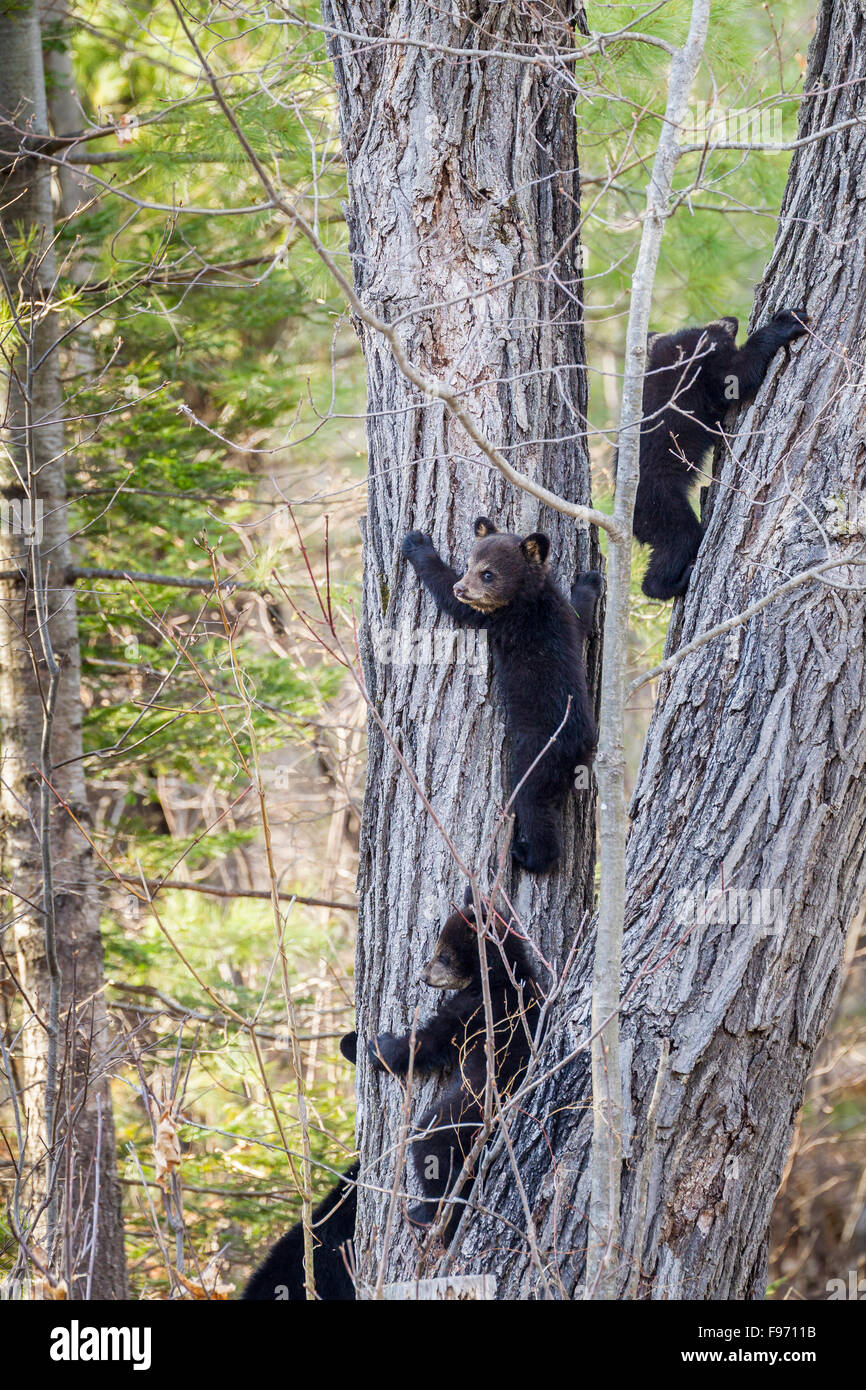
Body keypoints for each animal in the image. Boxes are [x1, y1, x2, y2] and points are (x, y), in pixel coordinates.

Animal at [367, 889, 542, 1233]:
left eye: (444, 956)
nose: (423, 976)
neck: (500, 976)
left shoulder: (476, 1011)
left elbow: (431, 1041)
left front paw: (379, 1046)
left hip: (462, 1114)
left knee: (431, 1147)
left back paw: (426, 1211)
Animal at [402, 518, 603, 874]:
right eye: (469, 564)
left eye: (488, 574)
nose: (462, 587)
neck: (530, 596)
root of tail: (581, 747)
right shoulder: (563, 617)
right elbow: (581, 619)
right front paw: (589, 580)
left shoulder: (500, 618)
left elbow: (453, 603)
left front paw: (417, 544)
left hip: (537, 755)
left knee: (533, 802)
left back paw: (528, 854)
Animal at [633, 308, 809, 600]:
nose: (732, 320)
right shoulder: (703, 378)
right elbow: (739, 375)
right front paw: (786, 323)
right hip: (660, 505)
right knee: (679, 539)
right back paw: (670, 583)